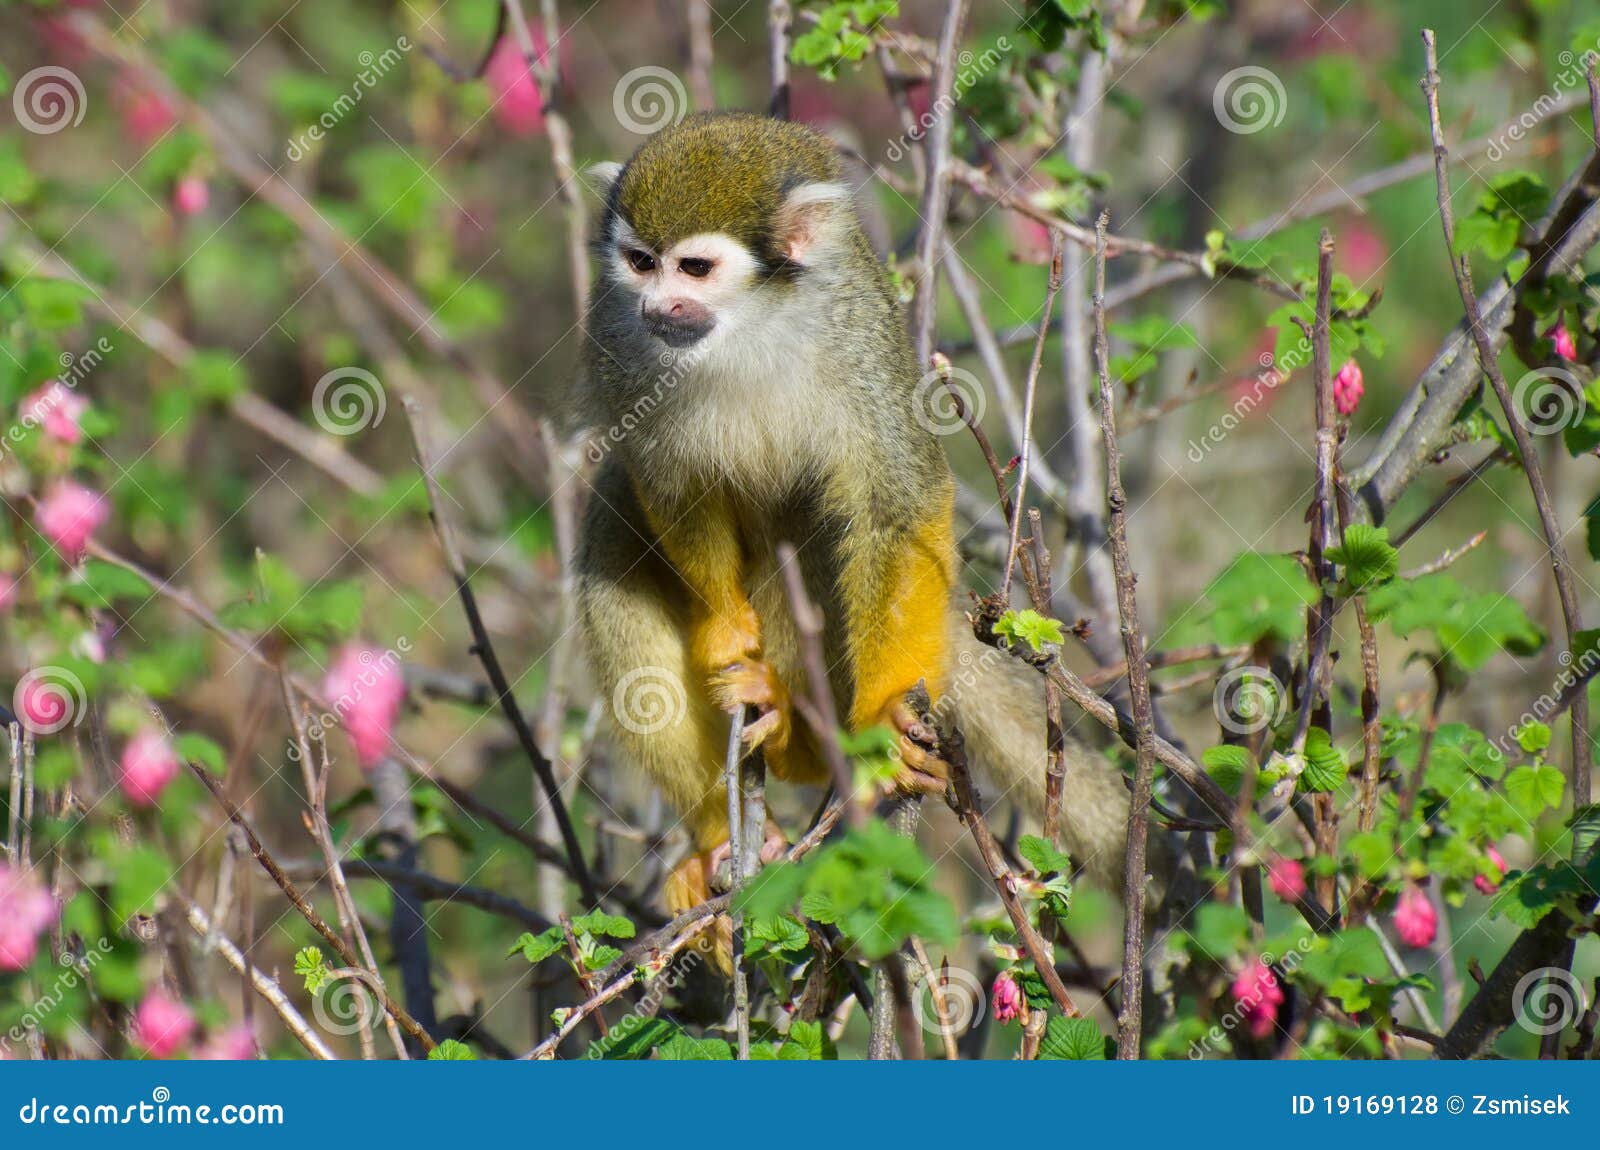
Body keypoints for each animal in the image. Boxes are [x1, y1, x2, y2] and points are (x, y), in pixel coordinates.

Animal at [573, 113, 1144, 965]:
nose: (659, 306)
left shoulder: (856, 336)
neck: (749, 328)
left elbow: (895, 507)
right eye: (640, 262)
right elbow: (670, 481)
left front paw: (877, 730)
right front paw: (723, 627)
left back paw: (802, 741)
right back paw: (719, 836)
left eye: (694, 268)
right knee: (613, 517)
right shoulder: (615, 337)